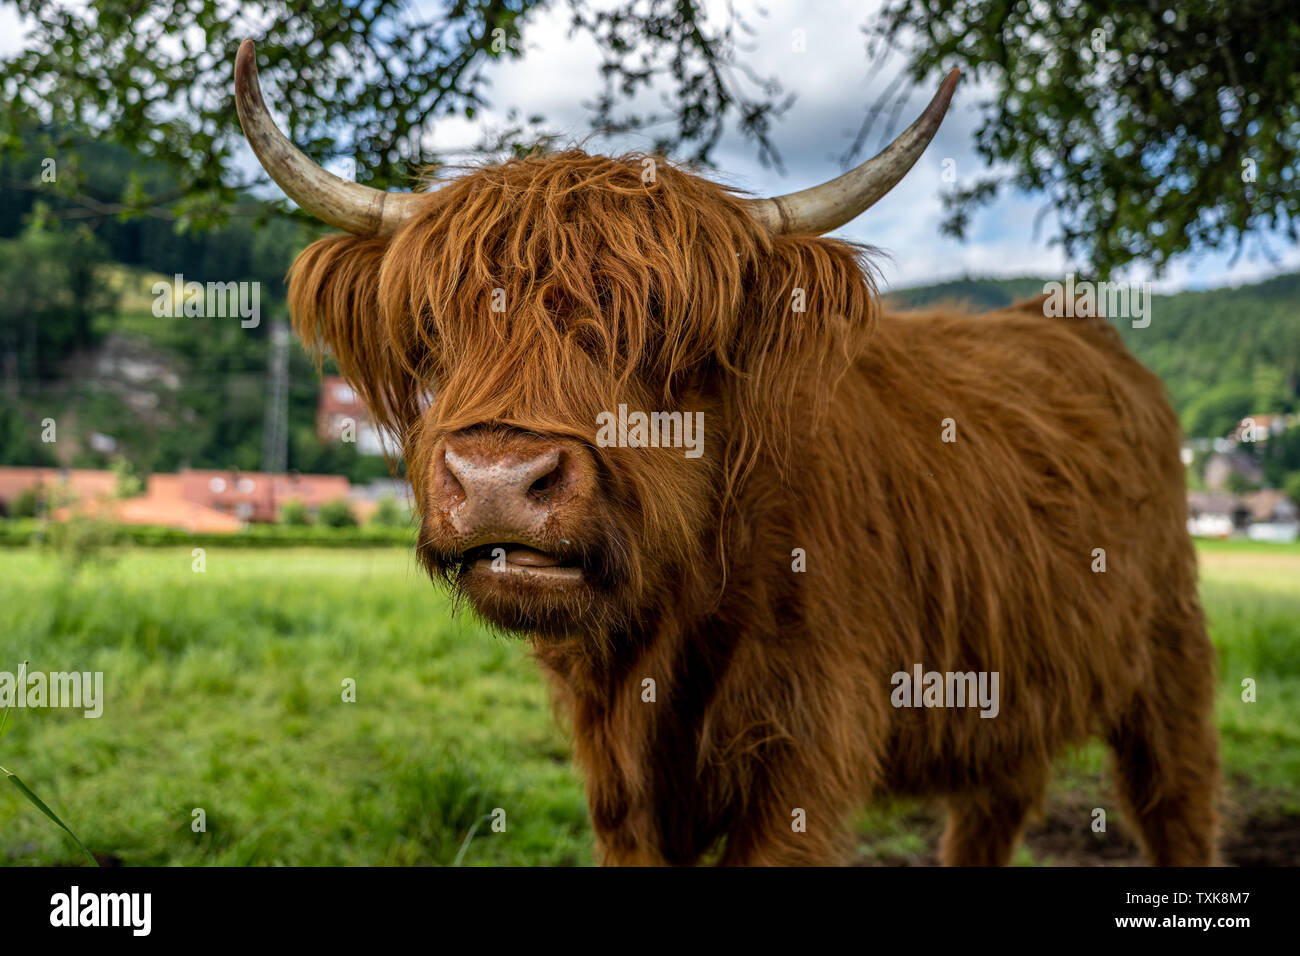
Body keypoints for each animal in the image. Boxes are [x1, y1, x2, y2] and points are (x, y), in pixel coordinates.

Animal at [235, 39, 1219, 866]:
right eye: (438, 327)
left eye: (662, 333)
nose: (499, 482)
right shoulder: (618, 783)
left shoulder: (805, 756)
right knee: (993, 807)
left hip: (1169, 655)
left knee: (1176, 798)